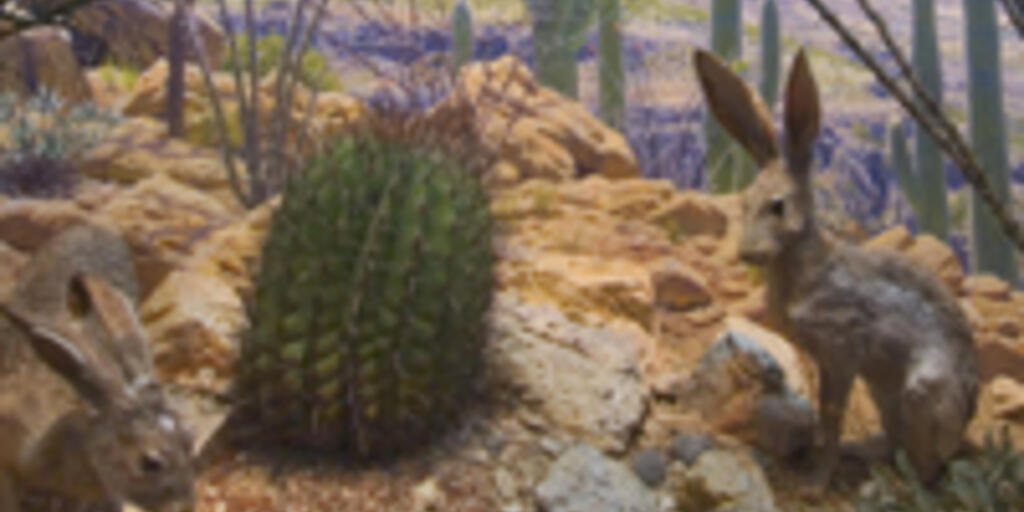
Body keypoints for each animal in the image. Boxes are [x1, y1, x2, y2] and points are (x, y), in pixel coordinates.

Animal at [692, 48, 979, 494]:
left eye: (778, 206)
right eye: (744, 202)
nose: (747, 252)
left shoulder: (841, 353)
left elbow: (831, 417)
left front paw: (815, 481)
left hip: (920, 394)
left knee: (930, 469)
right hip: (884, 393)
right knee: (896, 445)